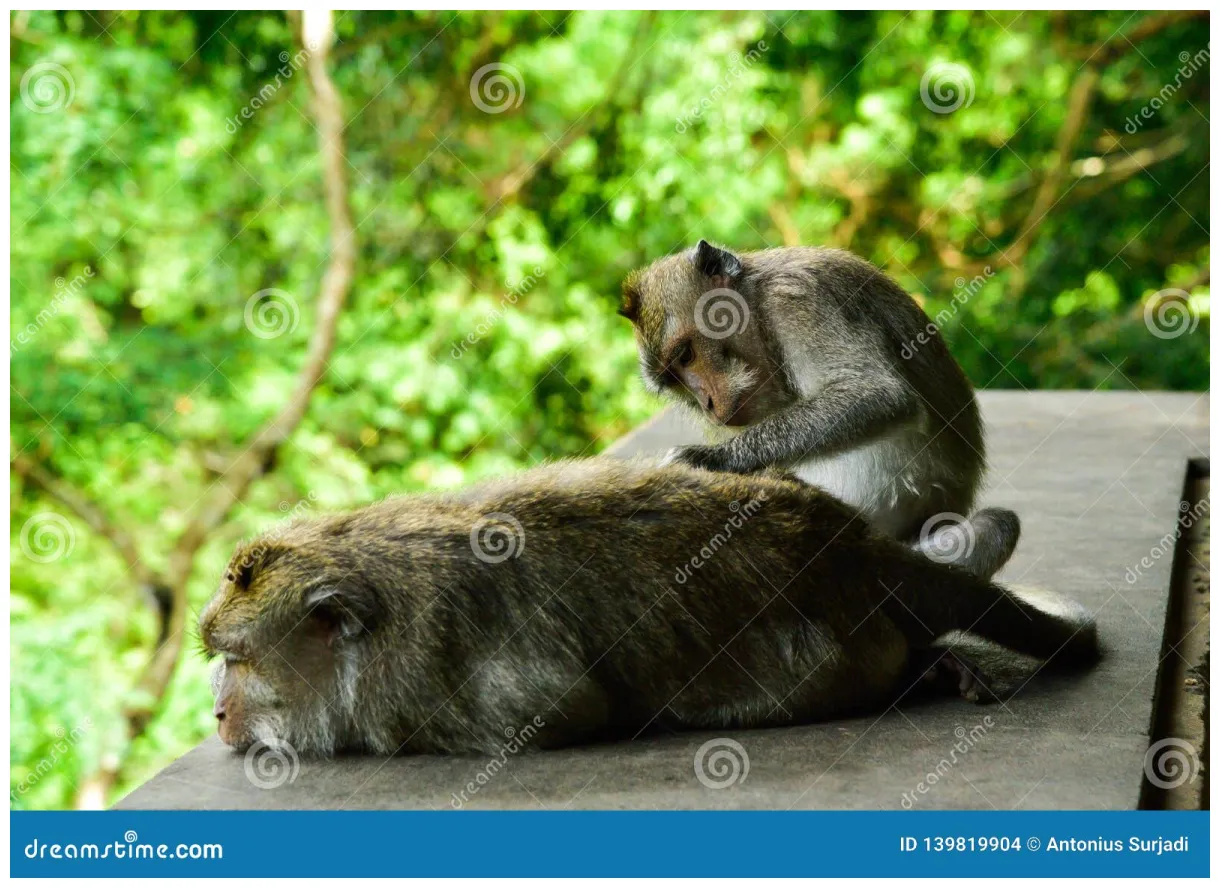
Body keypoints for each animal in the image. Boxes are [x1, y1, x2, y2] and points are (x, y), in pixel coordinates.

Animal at [199, 459, 1097, 758]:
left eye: (236, 661)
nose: (216, 711)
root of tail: (848, 543)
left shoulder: (419, 673)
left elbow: (564, 707)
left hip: (829, 655)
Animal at [619, 240, 993, 546]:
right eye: (673, 380)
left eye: (686, 355)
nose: (707, 404)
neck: (758, 304)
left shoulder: (797, 300)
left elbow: (877, 394)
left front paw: (711, 459)